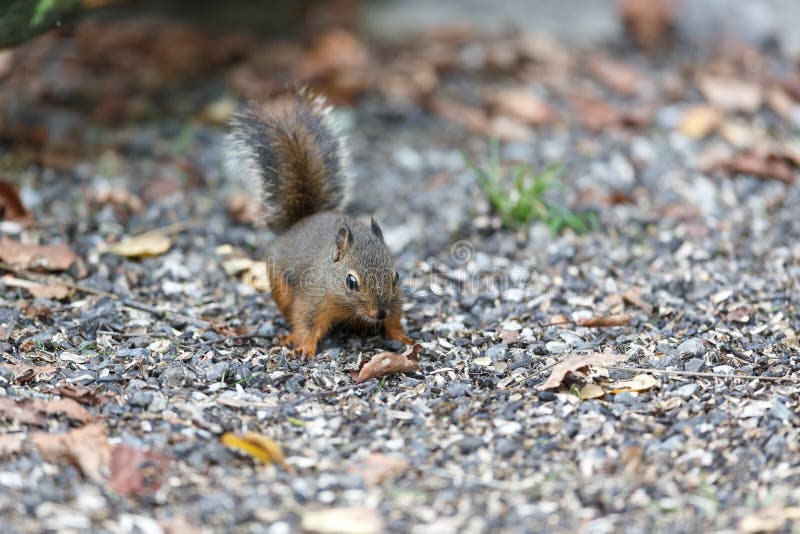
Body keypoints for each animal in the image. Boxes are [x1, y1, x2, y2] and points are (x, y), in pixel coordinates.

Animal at [231, 90, 413, 356]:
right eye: (351, 282)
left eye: (396, 277)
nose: (379, 312)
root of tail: (304, 219)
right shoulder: (312, 298)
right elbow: (305, 323)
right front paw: (303, 348)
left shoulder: (395, 300)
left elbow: (395, 318)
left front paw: (402, 336)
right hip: (279, 284)